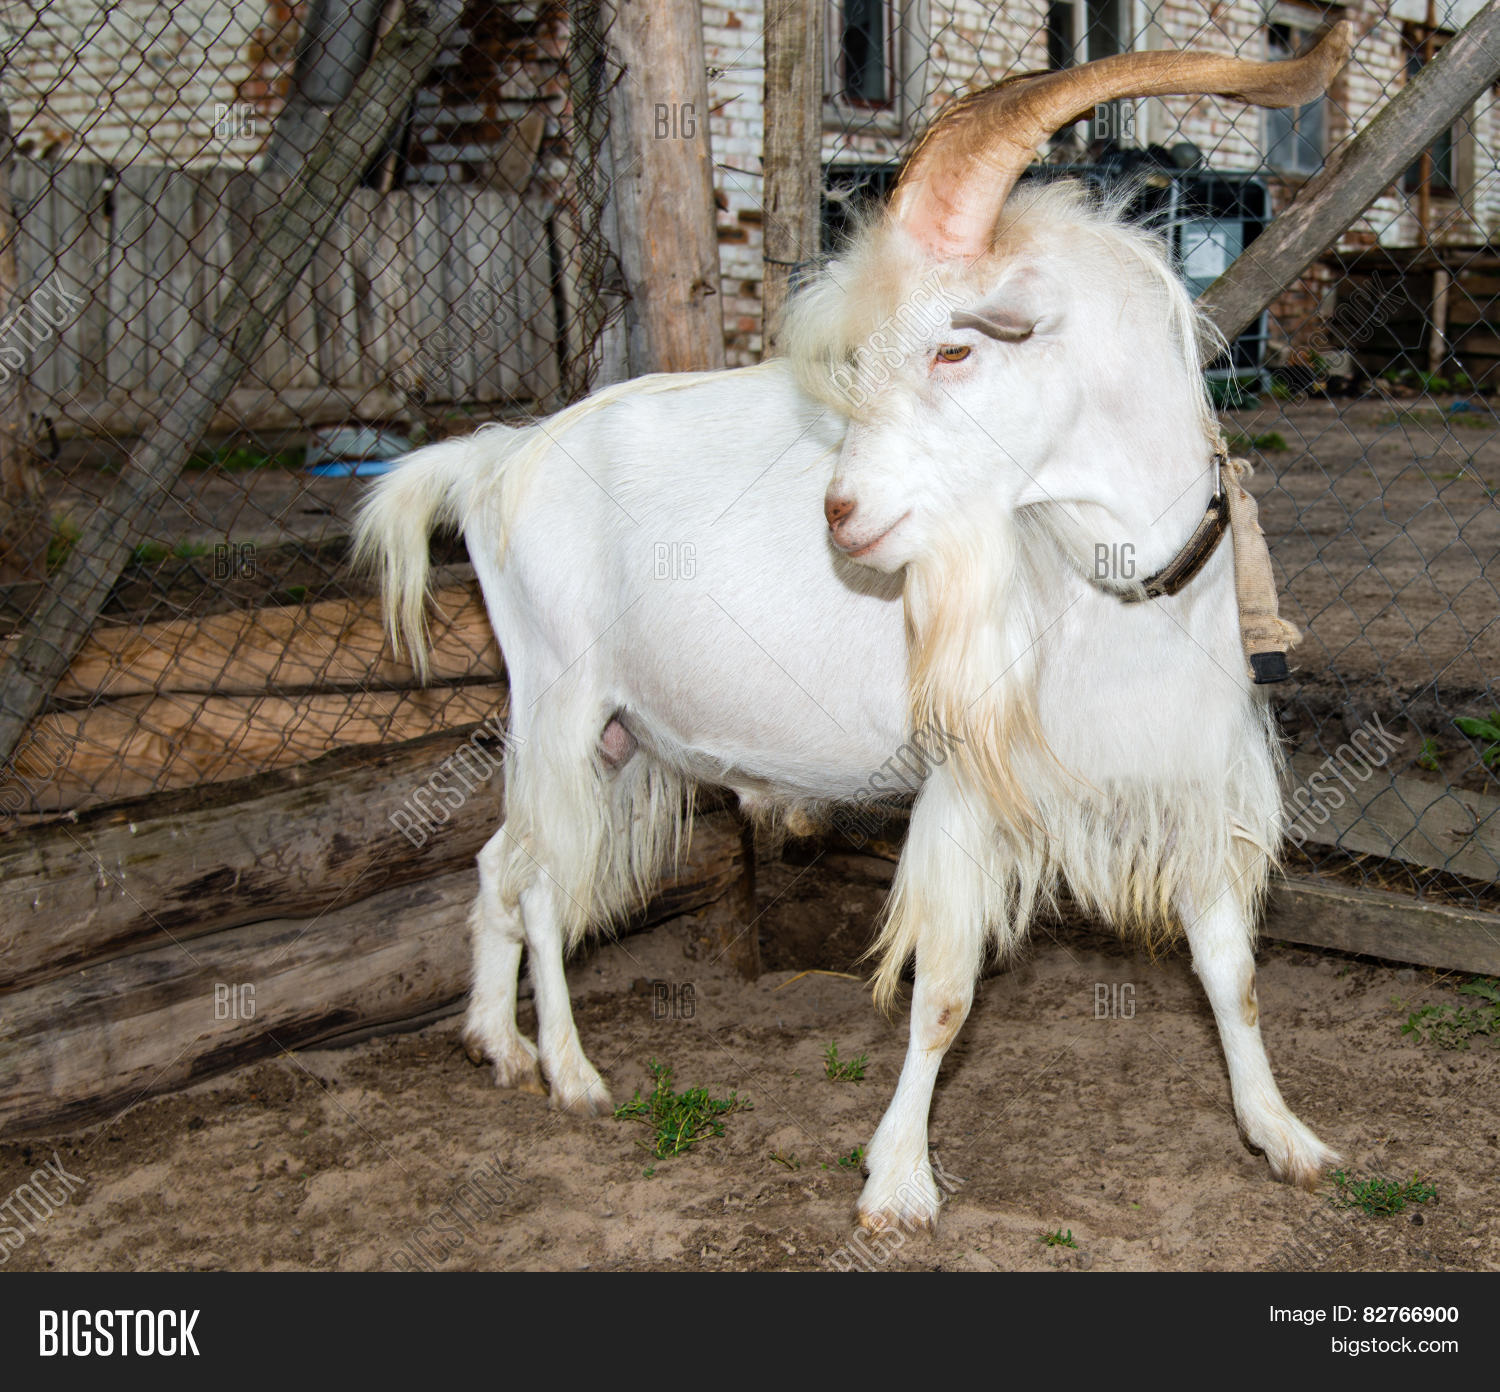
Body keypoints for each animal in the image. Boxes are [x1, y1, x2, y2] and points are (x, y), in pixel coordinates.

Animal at [355, 25, 1352, 1233]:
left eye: (957, 351)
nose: (841, 514)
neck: (1112, 594)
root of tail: (505, 457)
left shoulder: (1185, 767)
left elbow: (1229, 968)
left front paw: (1284, 1135)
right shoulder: (969, 780)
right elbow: (946, 991)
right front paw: (898, 1182)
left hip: (613, 731)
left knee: (502, 860)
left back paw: (495, 1043)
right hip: (558, 701)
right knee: (544, 875)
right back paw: (572, 1072)